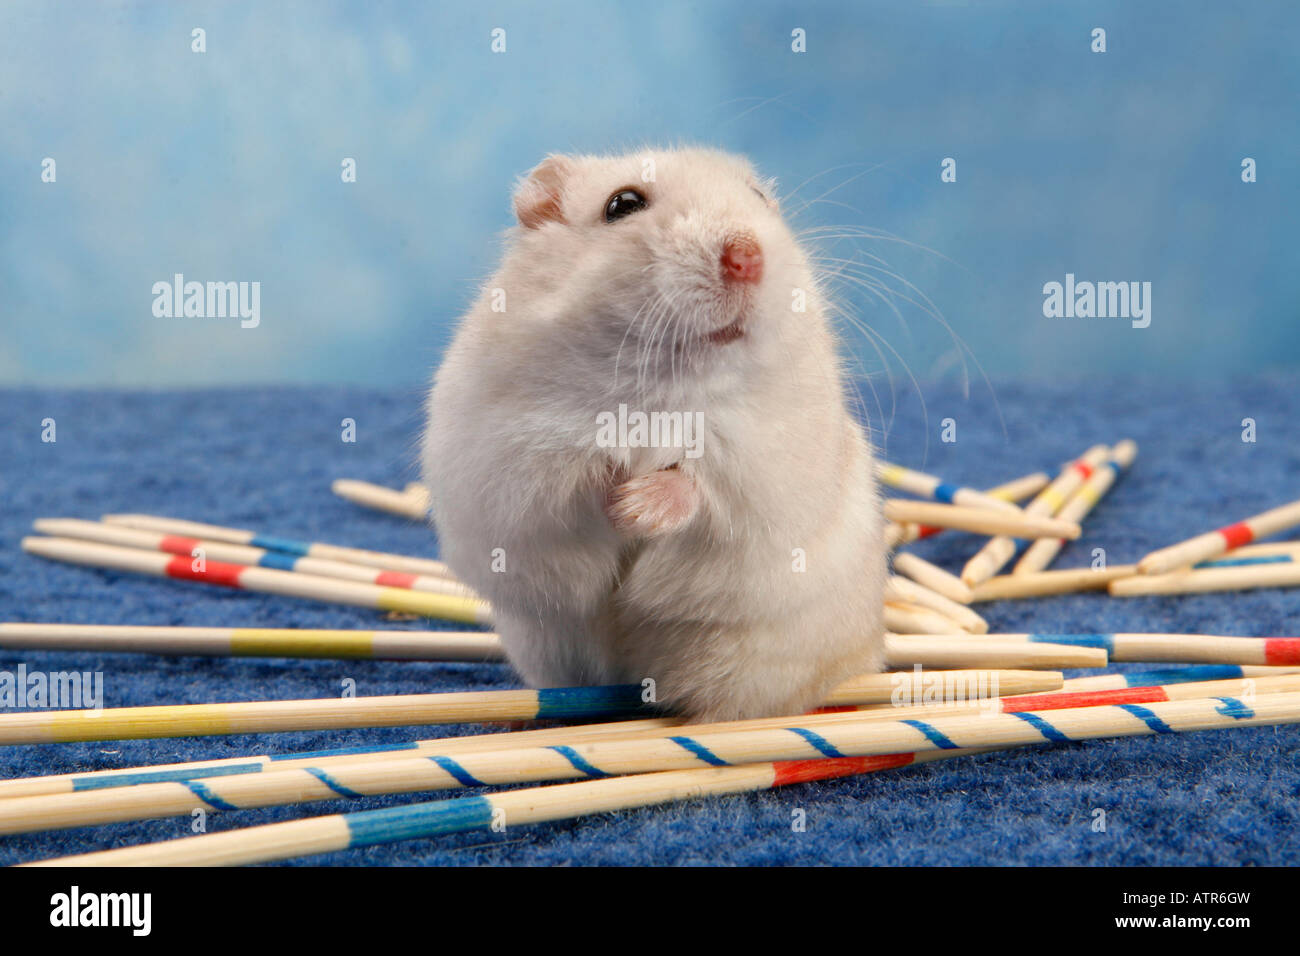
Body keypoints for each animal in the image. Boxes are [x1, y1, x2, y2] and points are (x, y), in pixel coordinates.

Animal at [422, 147, 885, 721]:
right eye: (622, 204)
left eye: (758, 197)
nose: (746, 257)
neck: (669, 375)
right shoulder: (512, 459)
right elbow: (572, 474)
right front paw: (620, 490)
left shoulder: (760, 466)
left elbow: (697, 486)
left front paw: (637, 507)